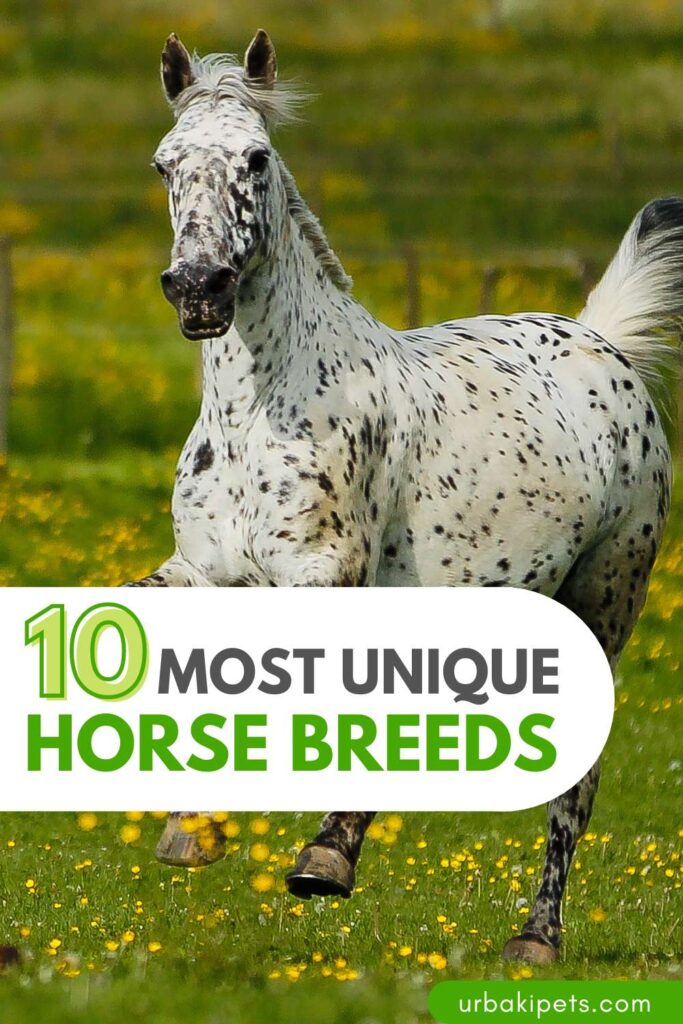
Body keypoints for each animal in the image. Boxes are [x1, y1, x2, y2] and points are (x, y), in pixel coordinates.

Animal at [125, 29, 680, 964]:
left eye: (256, 158)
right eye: (165, 164)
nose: (198, 288)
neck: (258, 414)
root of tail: (599, 343)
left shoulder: (322, 577)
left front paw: (276, 843)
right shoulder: (202, 570)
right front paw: (191, 830)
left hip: (604, 600)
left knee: (577, 782)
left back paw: (532, 937)